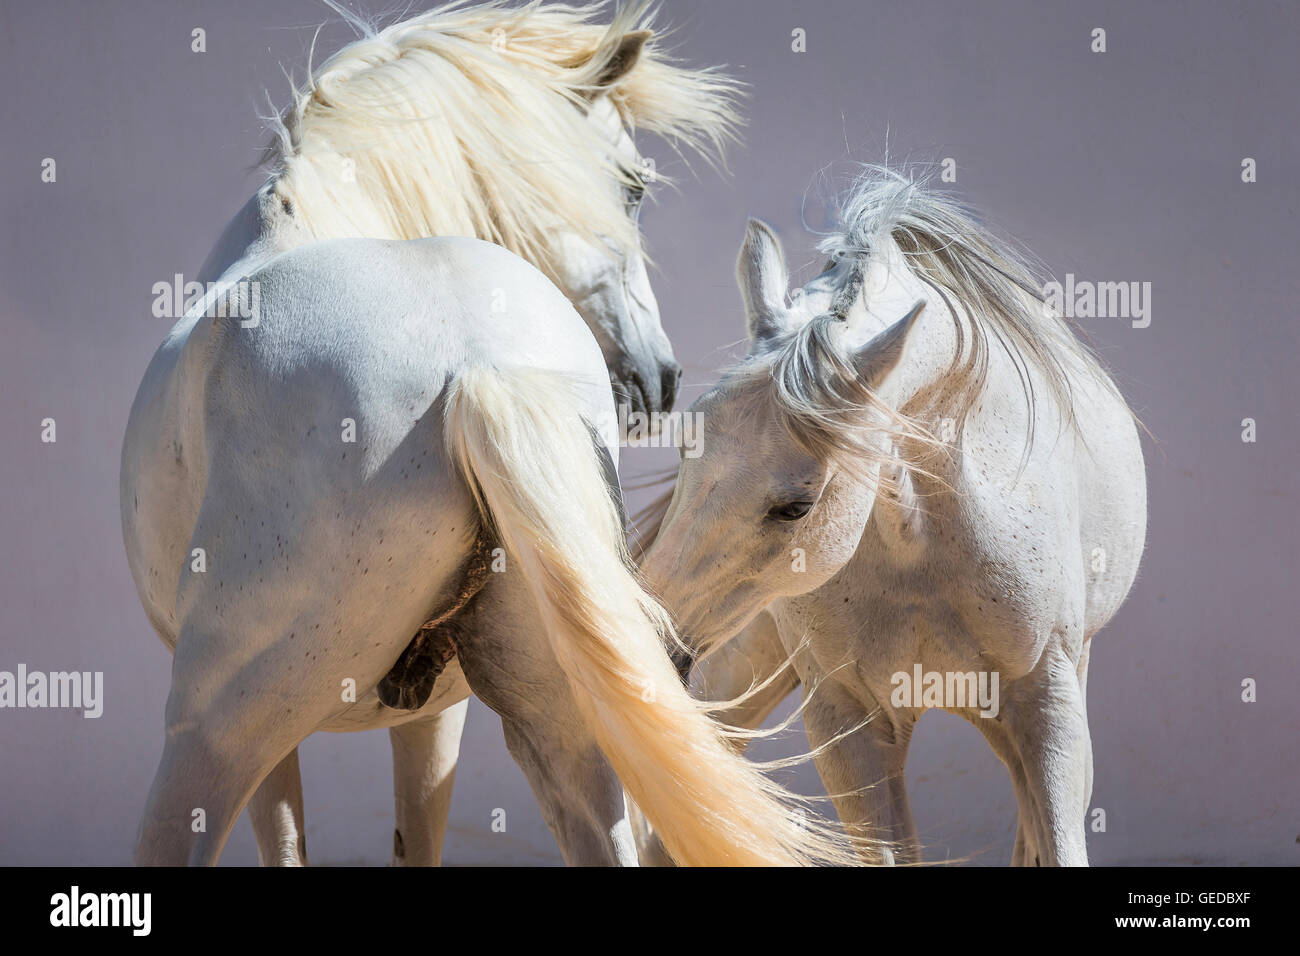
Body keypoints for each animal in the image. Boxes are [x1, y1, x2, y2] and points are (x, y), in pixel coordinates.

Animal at [121, 0, 855, 866]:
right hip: (563, 722)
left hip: (216, 732)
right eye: (635, 188)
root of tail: (477, 366)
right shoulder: (435, 711)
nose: (659, 378)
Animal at [638, 167, 1148, 866]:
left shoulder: (1048, 706)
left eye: (796, 506)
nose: (644, 618)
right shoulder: (848, 720)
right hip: (743, 654)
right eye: (687, 451)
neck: (924, 550)